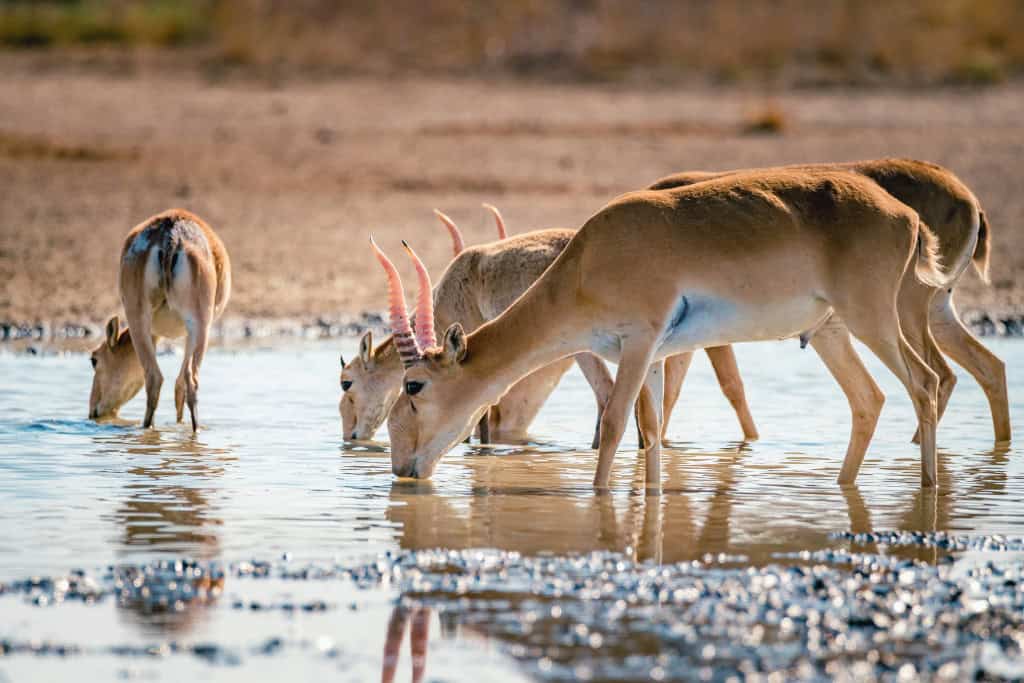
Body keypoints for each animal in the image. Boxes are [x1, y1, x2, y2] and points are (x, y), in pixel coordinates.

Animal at [89, 209, 231, 431]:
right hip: (198, 325)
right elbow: (179, 386)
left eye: (94, 359)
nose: (92, 412)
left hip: (145, 320)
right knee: (185, 379)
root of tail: (171, 234)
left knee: (160, 378)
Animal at [382, 168, 953, 489]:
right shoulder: (655, 355)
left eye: (414, 386)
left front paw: (600, 498)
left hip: (872, 319)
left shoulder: (638, 343)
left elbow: (616, 425)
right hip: (833, 331)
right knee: (870, 399)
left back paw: (929, 492)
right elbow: (653, 432)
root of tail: (906, 216)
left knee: (926, 382)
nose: (402, 467)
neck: (590, 260)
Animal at [653, 159, 1009, 457]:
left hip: (903, 315)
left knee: (939, 375)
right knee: (988, 366)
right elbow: (676, 390)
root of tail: (967, 198)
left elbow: (725, 386)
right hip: (935, 313)